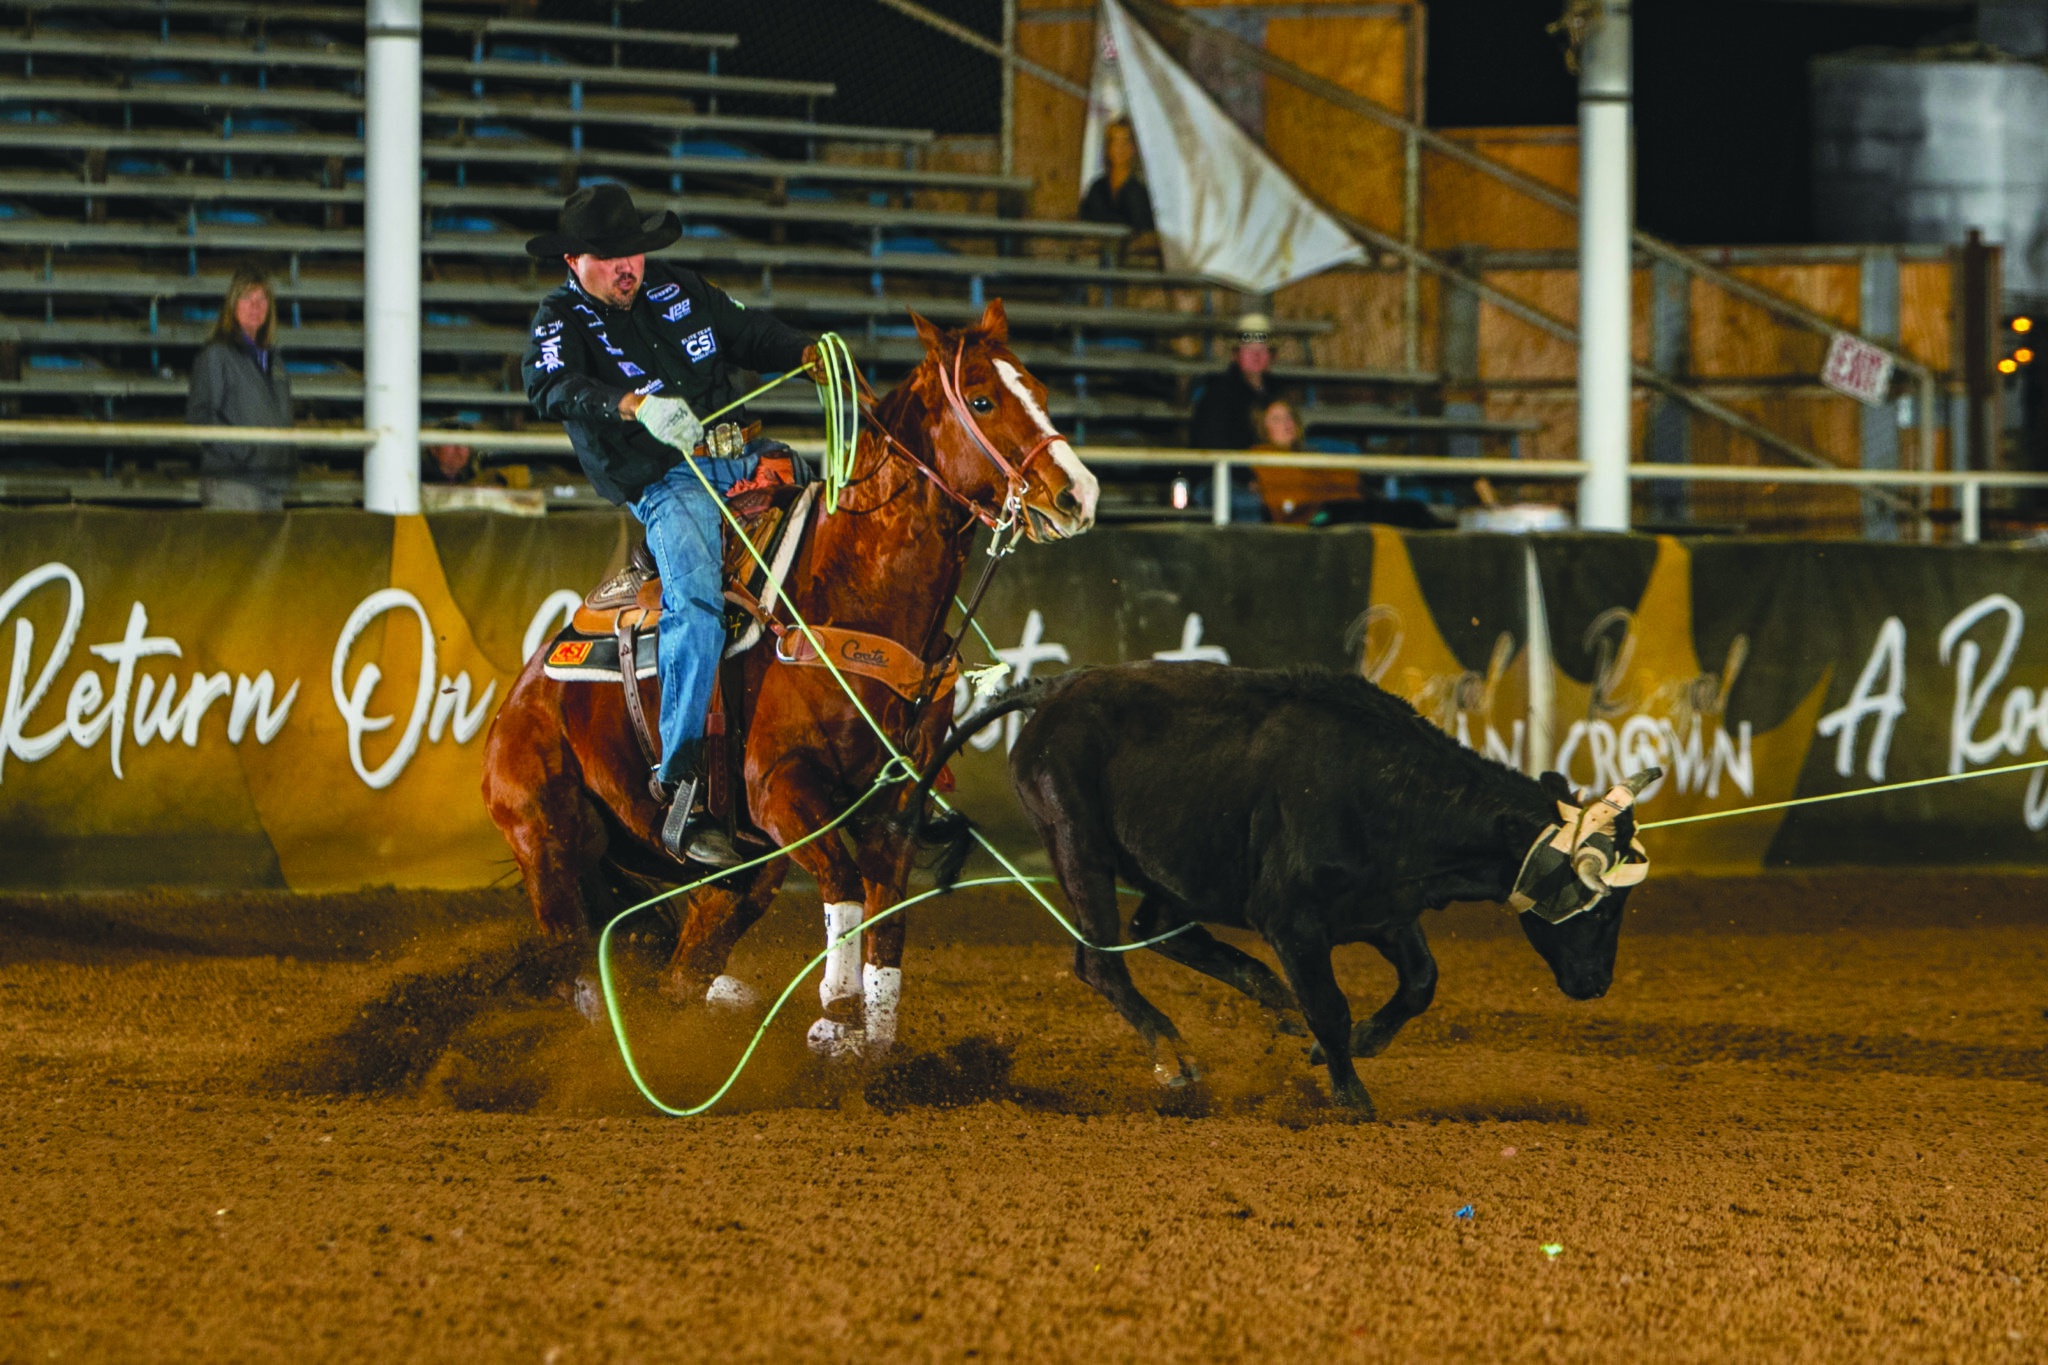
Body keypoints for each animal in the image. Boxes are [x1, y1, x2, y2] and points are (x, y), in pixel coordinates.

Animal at [480, 298, 1098, 1057]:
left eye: (1037, 391)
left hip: (737, 873)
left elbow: (887, 924)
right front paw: (834, 1007)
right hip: (550, 848)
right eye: (981, 399)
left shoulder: (895, 808)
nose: (1079, 495)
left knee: (683, 967)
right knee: (579, 962)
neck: (855, 593)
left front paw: (872, 1044)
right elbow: (844, 885)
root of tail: (518, 700)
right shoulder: (781, 788)